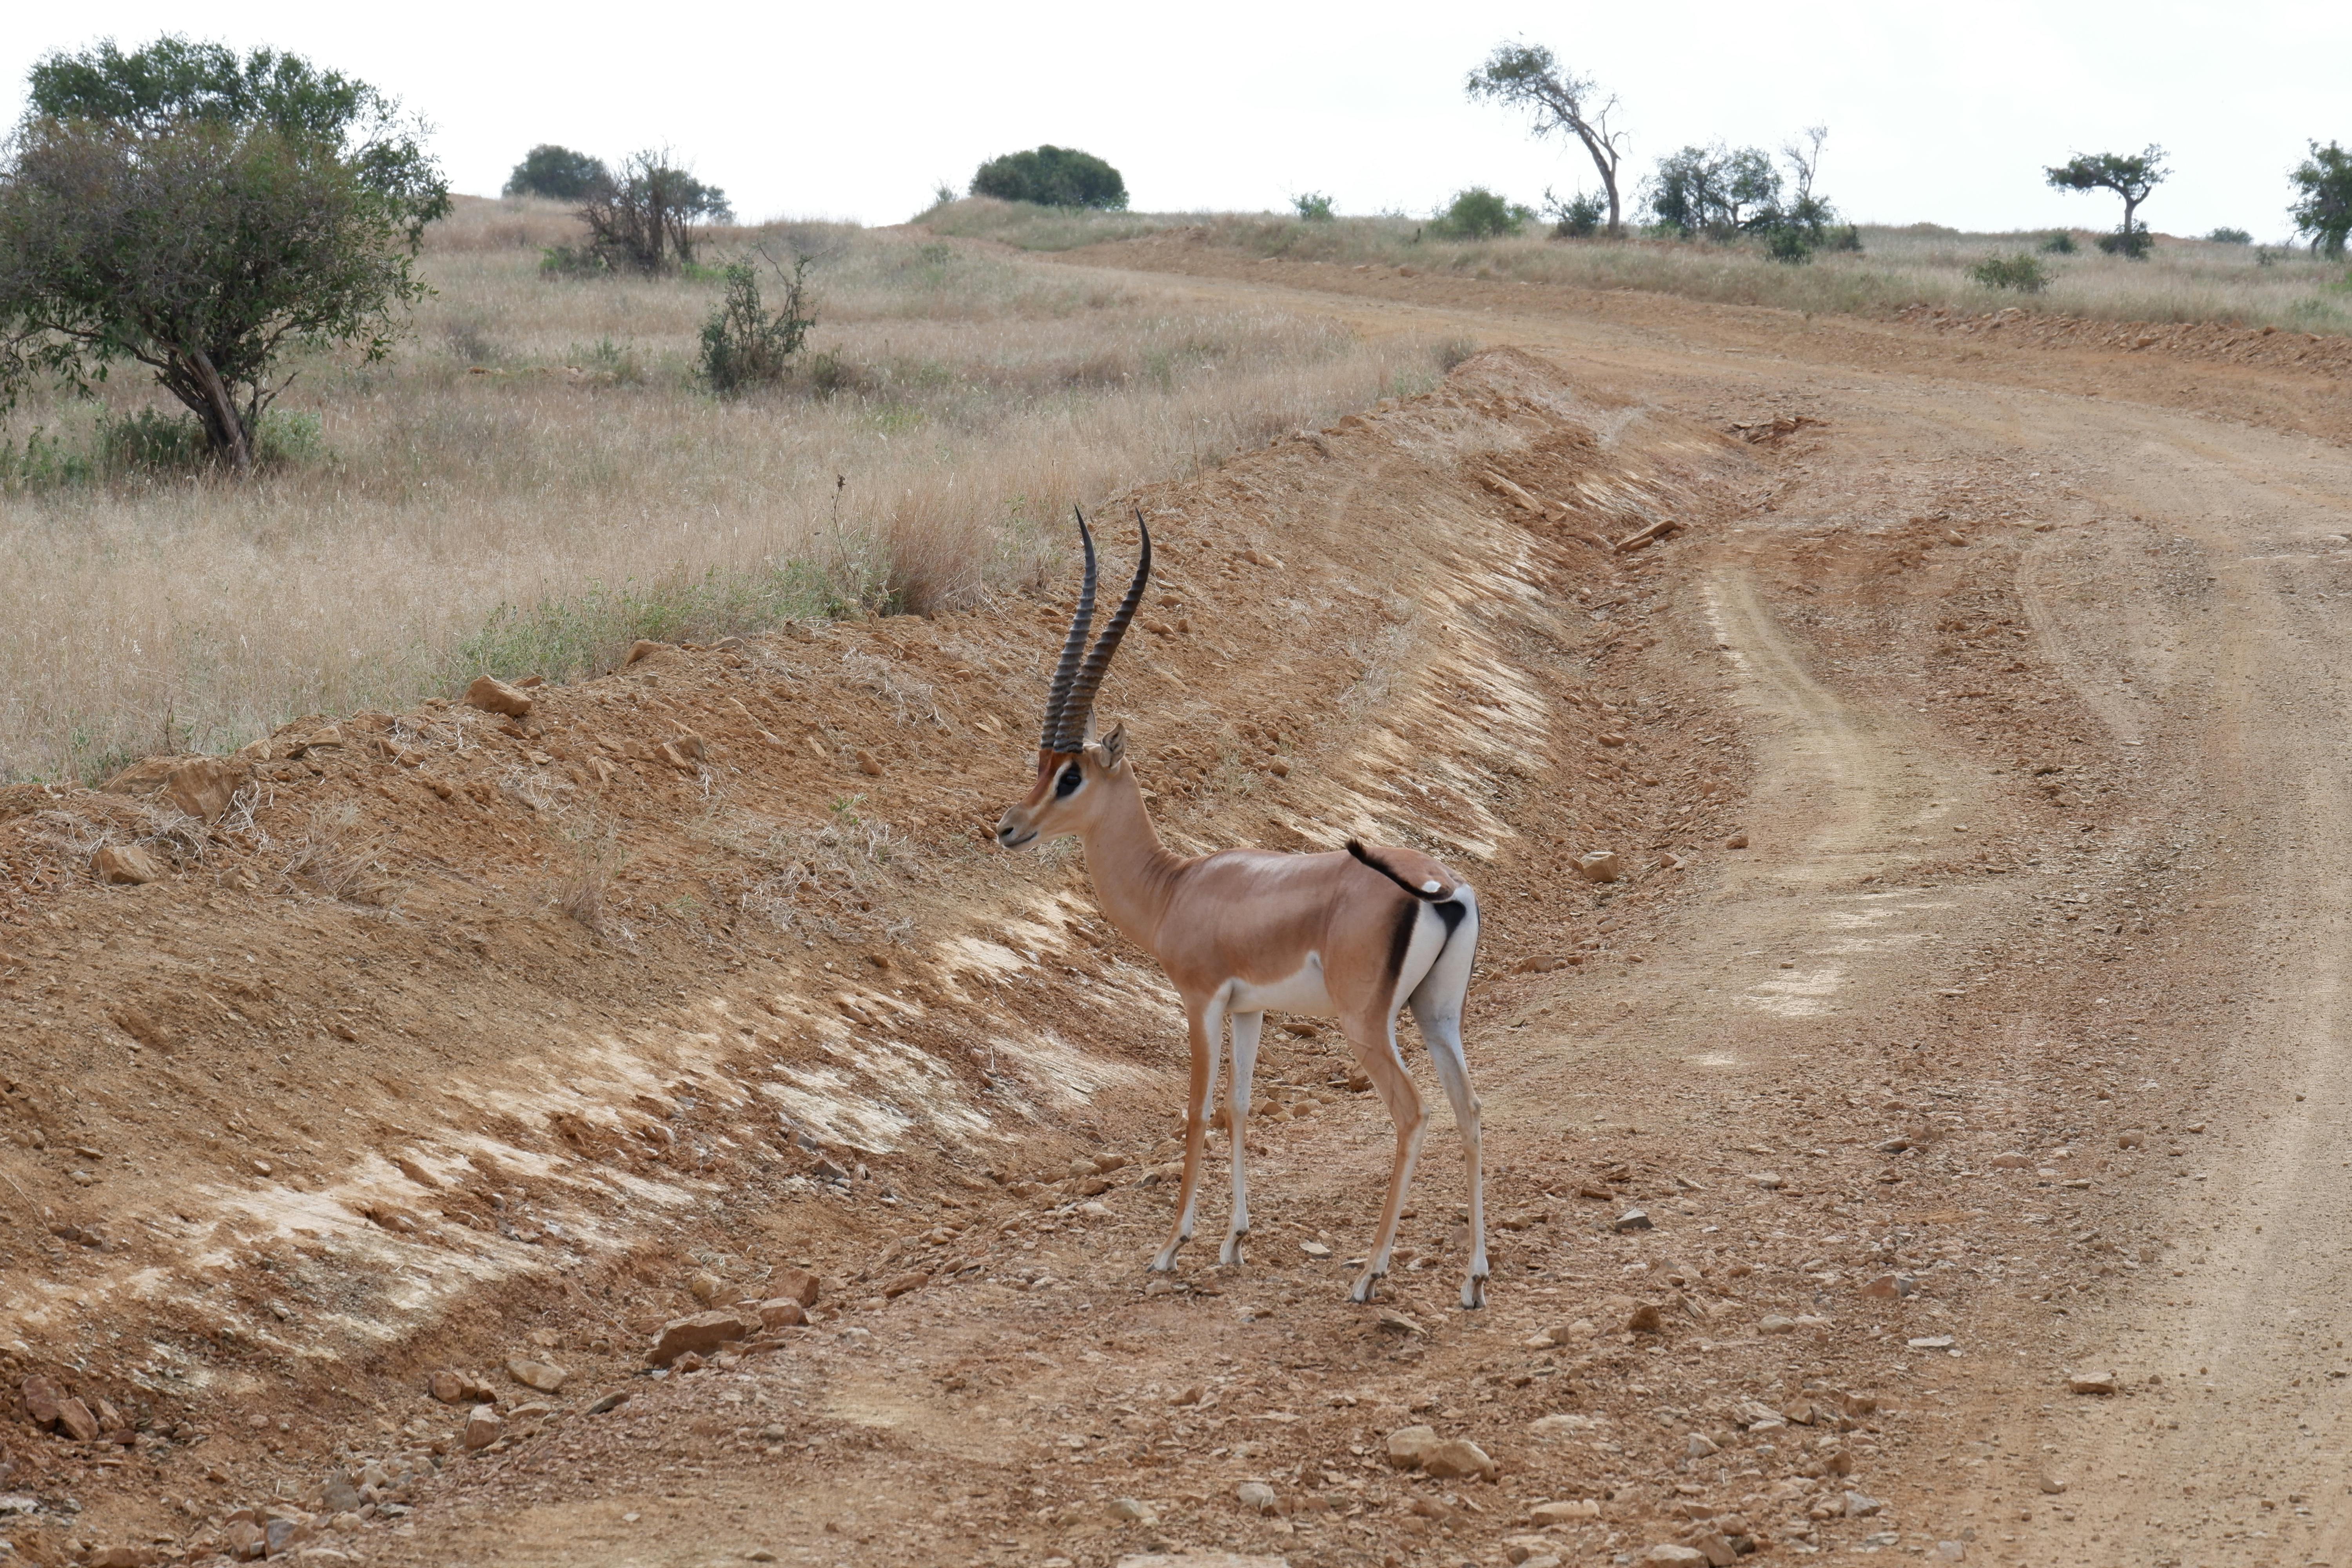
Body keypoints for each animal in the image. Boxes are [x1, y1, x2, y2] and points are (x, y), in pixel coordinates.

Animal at [994, 509, 1490, 1308]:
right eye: (1039, 765)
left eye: (1070, 774)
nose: (1009, 828)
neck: (1177, 886)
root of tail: (1442, 885)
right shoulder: (1251, 1010)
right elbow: (1242, 1104)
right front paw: (1233, 1241)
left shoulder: (1200, 1001)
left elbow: (1198, 1107)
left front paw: (1171, 1247)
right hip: (1437, 1013)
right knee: (1470, 1109)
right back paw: (1474, 1279)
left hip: (1368, 1024)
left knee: (1413, 1111)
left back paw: (1368, 1274)